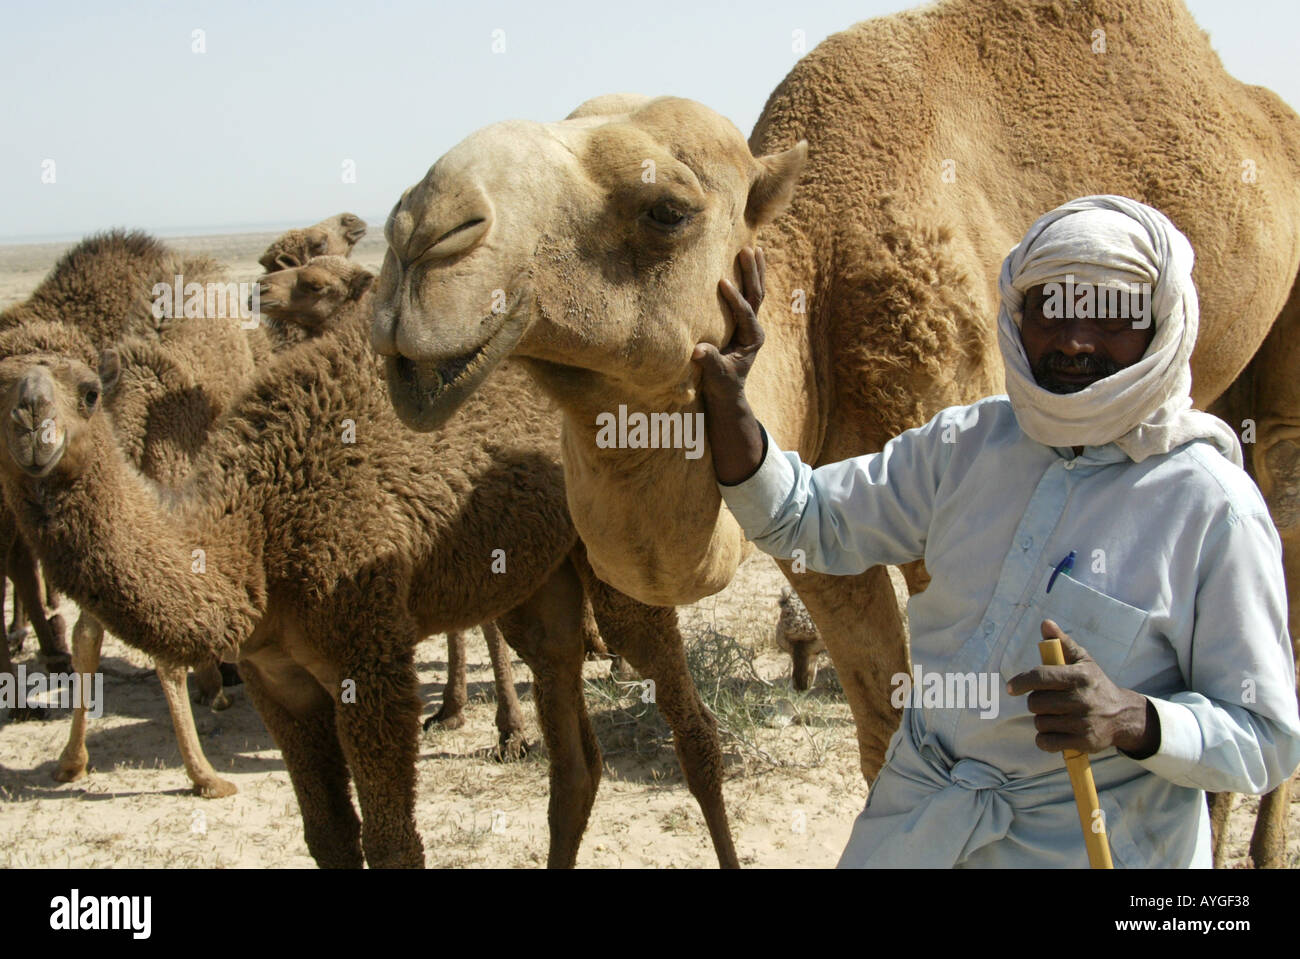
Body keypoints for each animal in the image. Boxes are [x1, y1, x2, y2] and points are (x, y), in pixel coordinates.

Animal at [0, 258, 735, 868]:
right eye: (0, 389)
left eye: (89, 390)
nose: (34, 422)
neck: (254, 539)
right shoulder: (276, 680)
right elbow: (326, 835)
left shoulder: (369, 654)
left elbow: (392, 844)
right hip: (537, 579)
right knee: (573, 753)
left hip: (618, 552)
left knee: (688, 721)